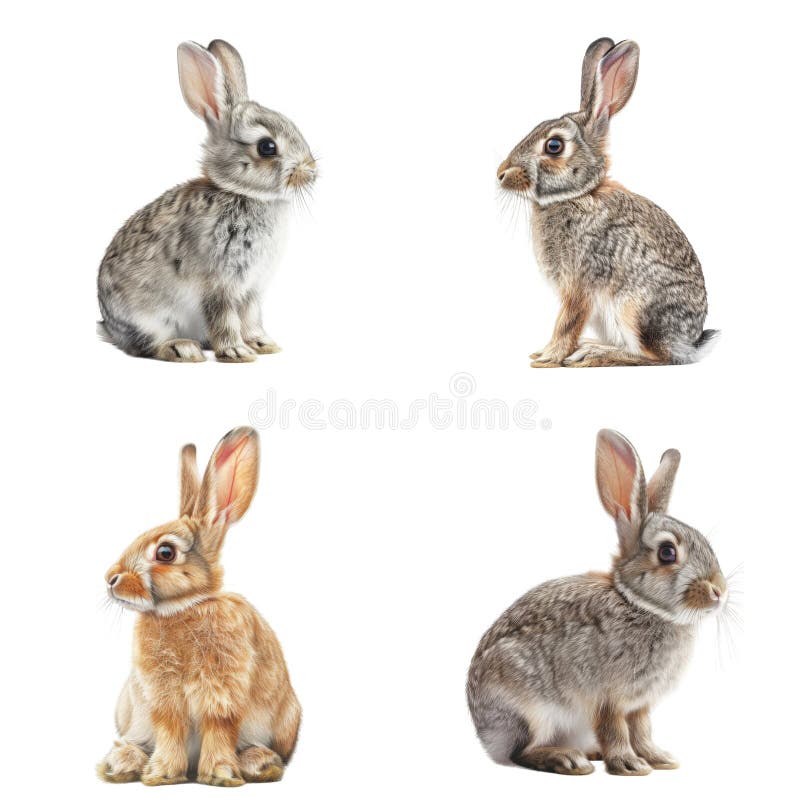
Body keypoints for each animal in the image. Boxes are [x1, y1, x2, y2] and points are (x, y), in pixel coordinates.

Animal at [97, 40, 317, 362]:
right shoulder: (219, 284)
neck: (241, 194)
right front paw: (237, 352)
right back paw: (182, 348)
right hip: (148, 319)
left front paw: (263, 344)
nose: (311, 171)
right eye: (267, 147)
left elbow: (251, 317)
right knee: (144, 346)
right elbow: (225, 318)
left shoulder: (251, 290)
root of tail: (109, 326)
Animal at [97, 427, 301, 786]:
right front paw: (163, 774)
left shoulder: (222, 694)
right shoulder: (162, 699)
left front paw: (220, 774)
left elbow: (218, 729)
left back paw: (258, 763)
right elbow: (170, 730)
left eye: (165, 552)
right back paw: (121, 763)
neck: (182, 607)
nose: (111, 579)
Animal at [467, 429, 728, 776]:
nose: (719, 591)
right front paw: (630, 765)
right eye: (667, 552)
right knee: (522, 751)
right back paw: (567, 759)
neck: (640, 604)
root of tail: (485, 736)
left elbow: (642, 730)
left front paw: (658, 758)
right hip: (531, 712)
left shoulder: (639, 705)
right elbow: (615, 730)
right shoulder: (608, 699)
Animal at [496, 38, 718, 367]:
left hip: (635, 309)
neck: (579, 193)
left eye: (553, 146)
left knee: (654, 357)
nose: (500, 174)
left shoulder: (580, 283)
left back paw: (593, 354)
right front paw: (542, 354)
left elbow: (567, 322)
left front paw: (547, 358)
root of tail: (689, 344)